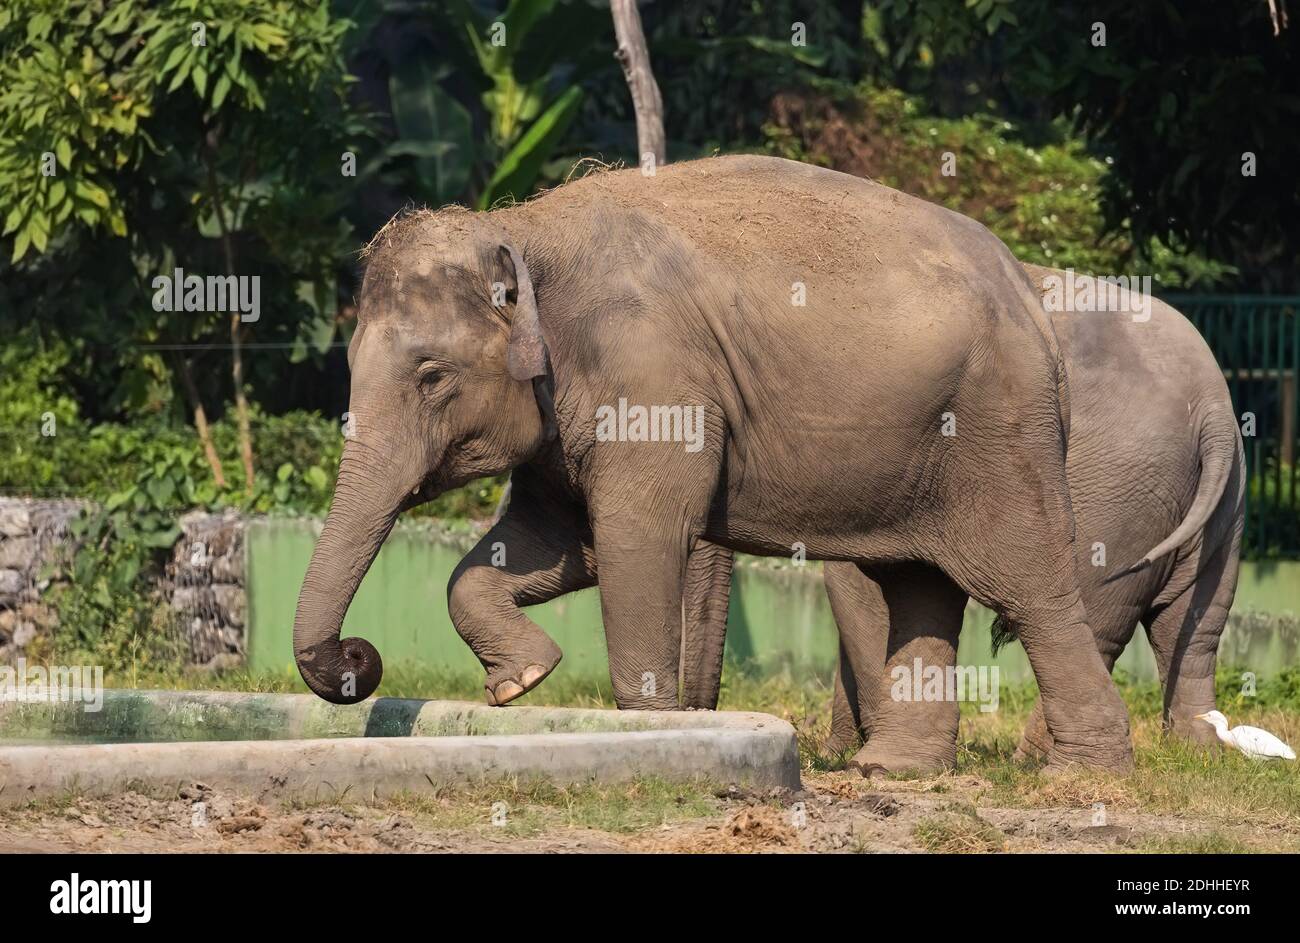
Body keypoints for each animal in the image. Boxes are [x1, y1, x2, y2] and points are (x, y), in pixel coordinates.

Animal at [291, 154, 1135, 771]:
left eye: (431, 376)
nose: (358, 657)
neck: (522, 229)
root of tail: (1030, 293)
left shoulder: (651, 378)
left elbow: (636, 540)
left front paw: (642, 735)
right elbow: (550, 542)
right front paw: (521, 680)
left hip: (1000, 428)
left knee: (1028, 585)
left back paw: (1082, 773)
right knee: (918, 583)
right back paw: (894, 771)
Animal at [680, 266, 1245, 773]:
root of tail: (1212, 405)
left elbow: (854, 592)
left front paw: (864, 756)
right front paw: (845, 752)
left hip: (1113, 496)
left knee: (1092, 617)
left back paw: (1034, 762)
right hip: (1222, 508)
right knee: (1192, 629)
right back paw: (1200, 755)